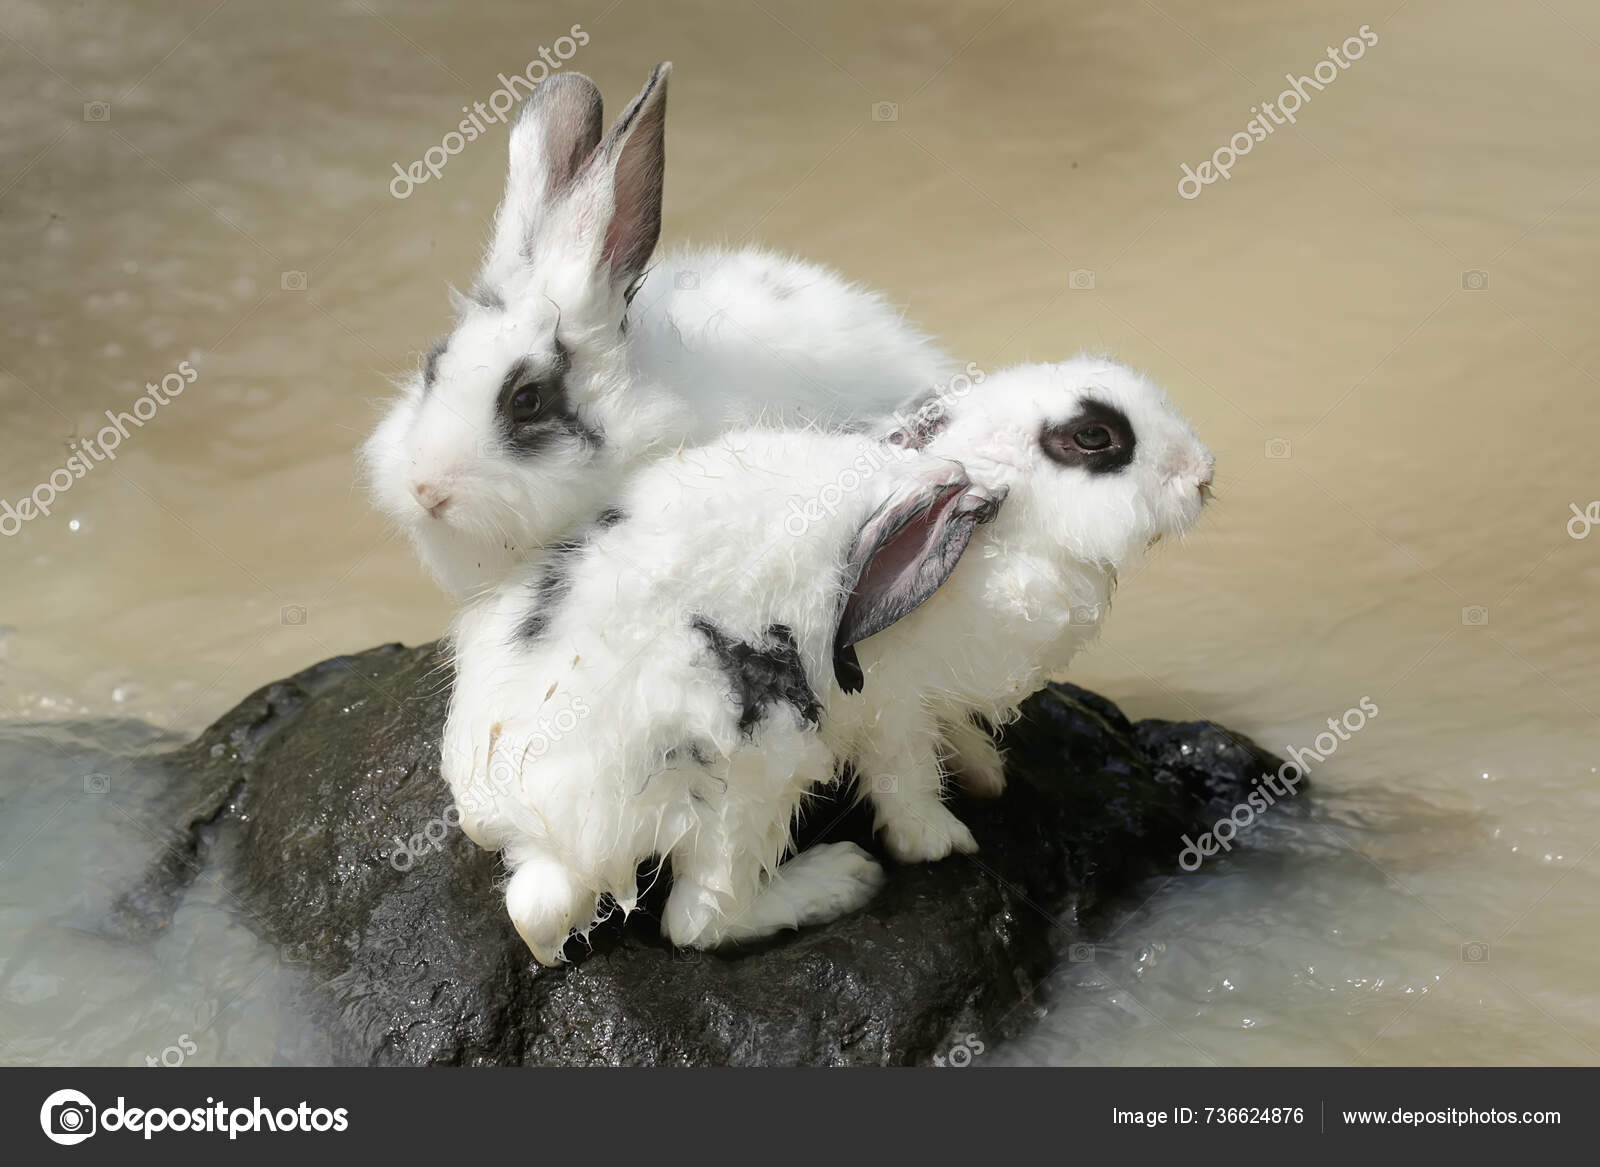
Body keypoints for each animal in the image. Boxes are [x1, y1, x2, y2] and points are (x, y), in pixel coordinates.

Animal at [442, 357, 1215, 962]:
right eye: (1095, 438)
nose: (1204, 473)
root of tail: (536, 823)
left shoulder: (938, 697)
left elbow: (956, 734)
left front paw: (988, 773)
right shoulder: (893, 706)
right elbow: (908, 782)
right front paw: (942, 842)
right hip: (750, 772)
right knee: (698, 923)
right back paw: (839, 880)